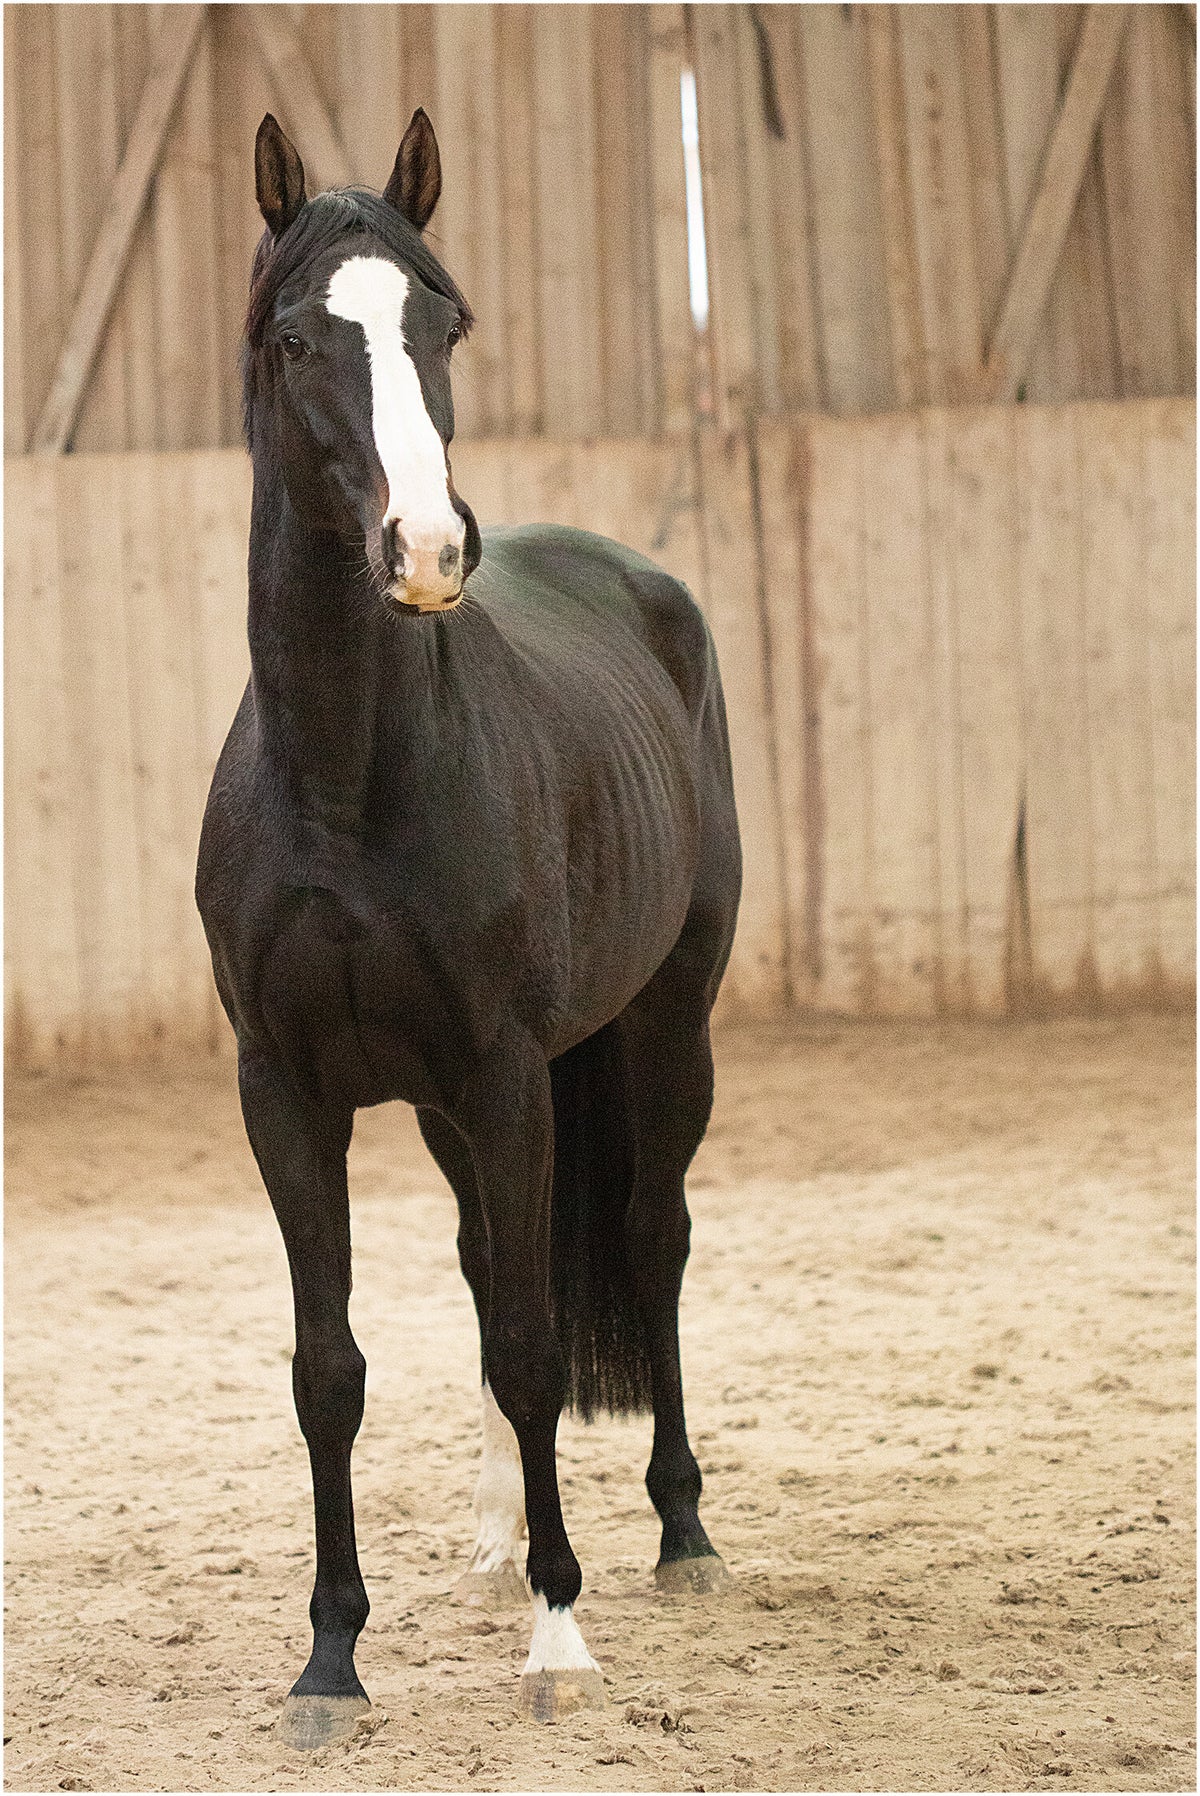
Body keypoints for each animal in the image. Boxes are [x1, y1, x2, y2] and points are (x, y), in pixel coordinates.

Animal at [196, 107, 742, 1750]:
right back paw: (503, 1536)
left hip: (665, 1027)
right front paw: (329, 1657)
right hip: (450, 1108)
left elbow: (531, 1339)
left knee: (647, 1236)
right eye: (298, 336)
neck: (346, 779)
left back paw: (679, 1531)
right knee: (487, 1263)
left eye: (445, 322)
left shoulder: (507, 1074)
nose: (429, 547)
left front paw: (561, 1632)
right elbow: (332, 1366)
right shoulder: (289, 1094)